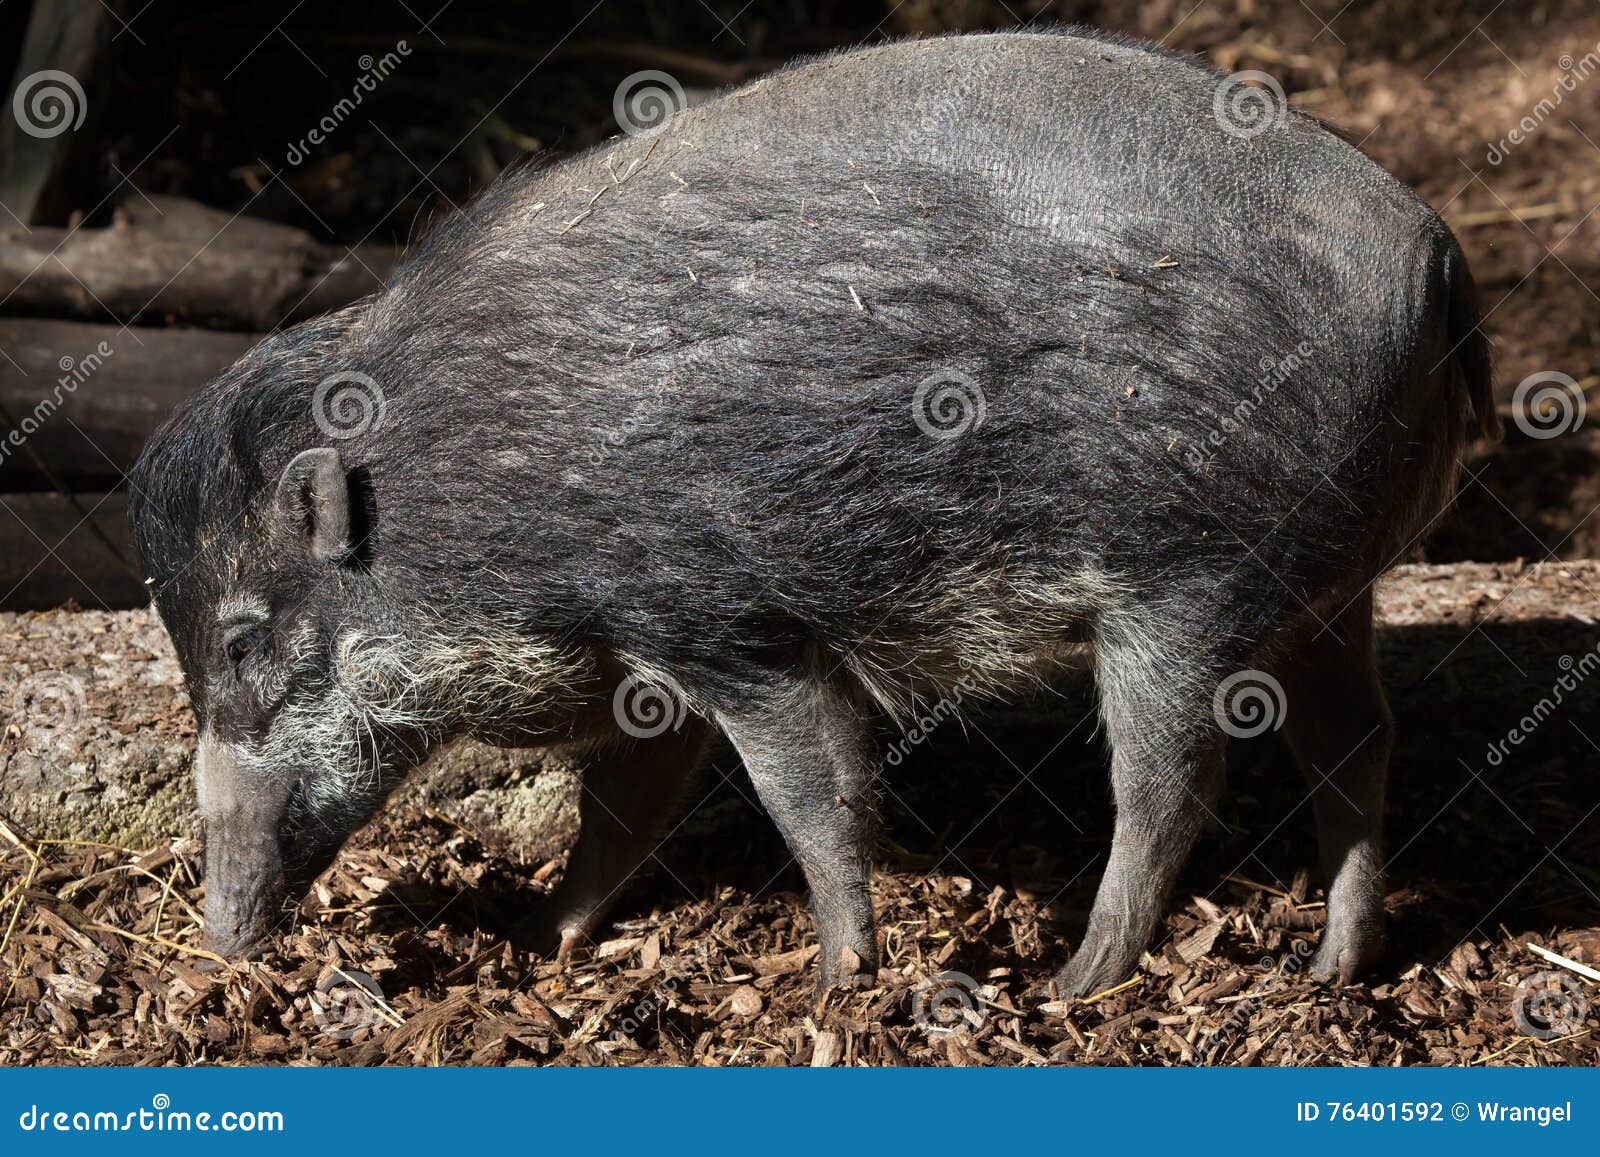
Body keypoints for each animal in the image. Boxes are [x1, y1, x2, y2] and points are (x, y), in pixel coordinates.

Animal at [127, 28, 1496, 996]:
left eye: (242, 639)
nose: (218, 940)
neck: (475, 480)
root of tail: (1431, 250)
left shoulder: (728, 622)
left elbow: (809, 791)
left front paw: (843, 978)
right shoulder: (648, 659)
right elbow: (624, 801)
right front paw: (539, 936)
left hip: (1184, 588)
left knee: (1174, 783)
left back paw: (1068, 985)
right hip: (1327, 593)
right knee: (1356, 740)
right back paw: (1332, 968)